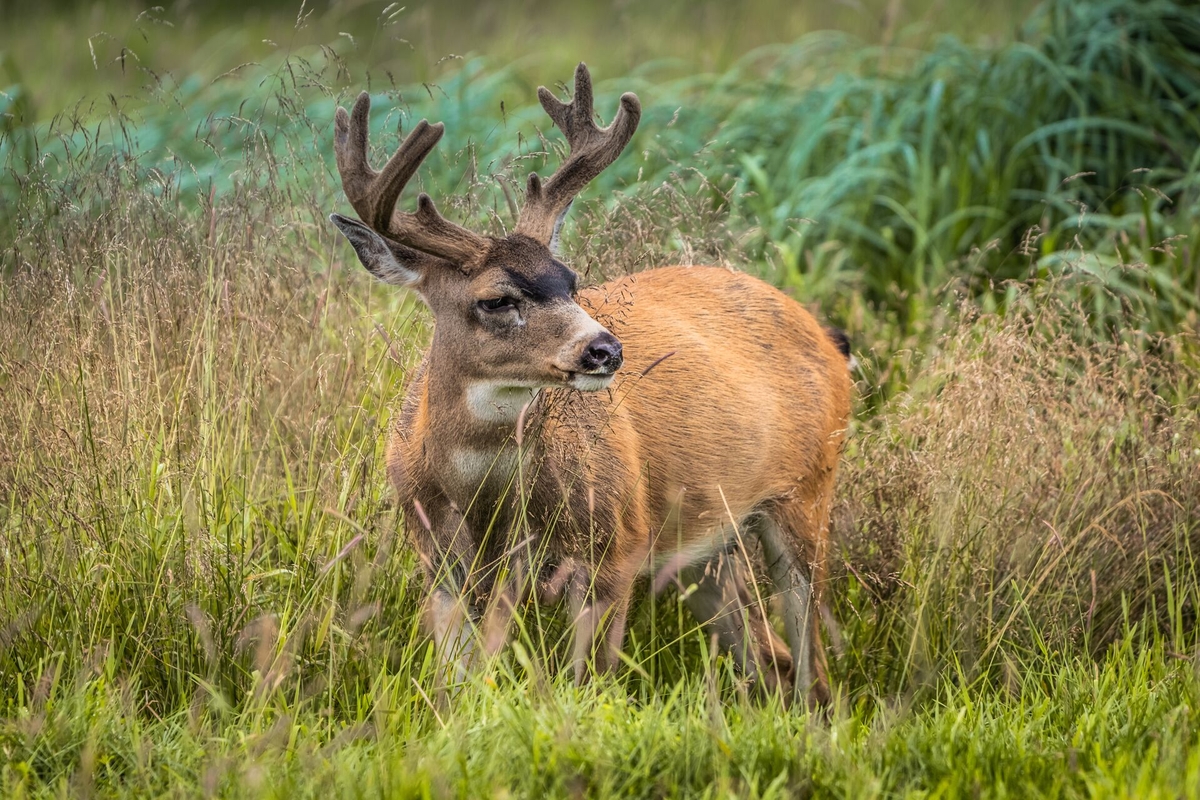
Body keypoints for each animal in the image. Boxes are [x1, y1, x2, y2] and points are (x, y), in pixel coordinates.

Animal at [329, 64, 852, 708]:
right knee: (768, 656)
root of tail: (826, 336)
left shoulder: (616, 544)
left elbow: (589, 681)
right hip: (705, 542)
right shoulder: (439, 559)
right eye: (496, 298)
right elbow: (458, 683)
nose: (605, 349)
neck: (482, 493)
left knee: (813, 666)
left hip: (807, 490)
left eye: (570, 280)